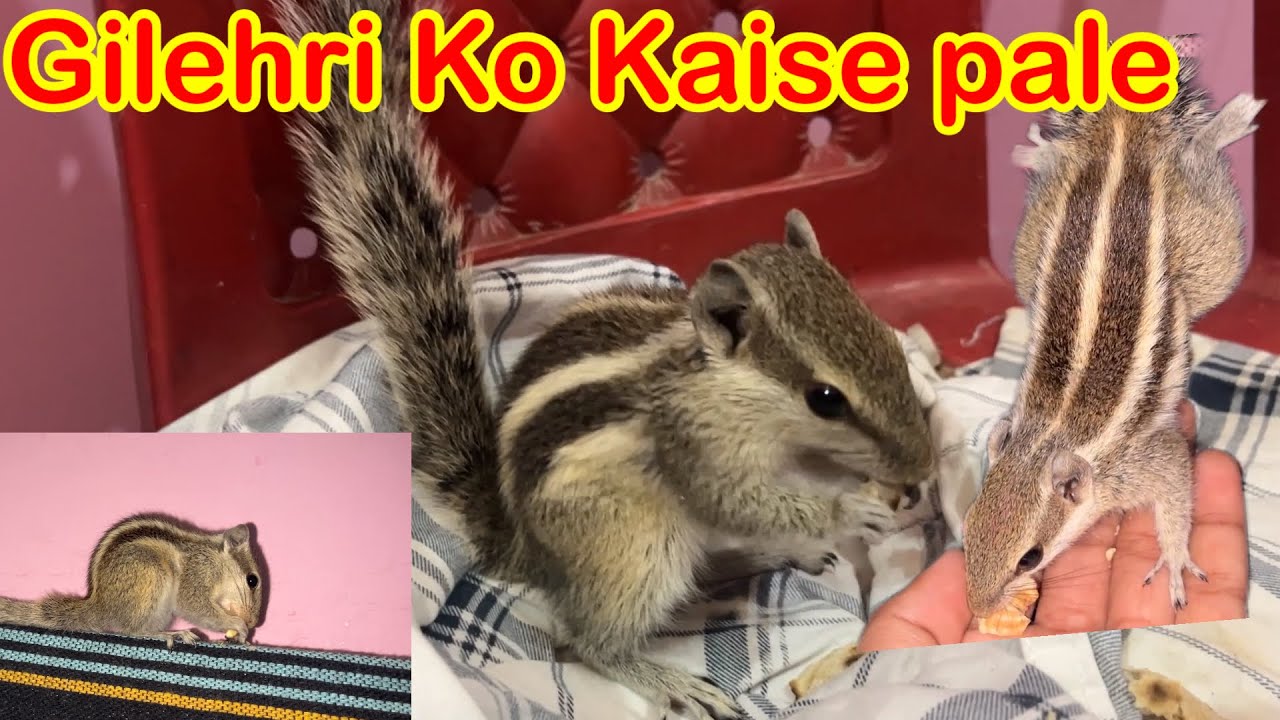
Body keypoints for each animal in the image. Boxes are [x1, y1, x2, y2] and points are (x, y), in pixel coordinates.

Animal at [0, 513, 263, 648]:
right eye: (252, 580)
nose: (254, 623)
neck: (214, 558)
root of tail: (99, 607)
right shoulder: (196, 576)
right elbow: (195, 607)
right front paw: (237, 626)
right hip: (151, 578)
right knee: (132, 630)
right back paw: (172, 634)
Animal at [273, 0, 936, 716]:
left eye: (887, 339)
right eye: (825, 399)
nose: (923, 467)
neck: (724, 389)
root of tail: (525, 551)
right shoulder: (695, 450)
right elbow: (741, 501)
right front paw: (849, 510)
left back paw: (782, 557)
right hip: (636, 547)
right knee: (587, 642)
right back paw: (672, 678)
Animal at [962, 34, 1264, 621]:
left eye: (1030, 557)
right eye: (965, 529)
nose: (977, 608)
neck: (1045, 440)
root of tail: (1124, 135)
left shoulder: (1142, 463)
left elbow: (1176, 482)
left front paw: (1173, 558)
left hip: (1209, 245)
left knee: (1198, 158)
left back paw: (1232, 120)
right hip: (1035, 234)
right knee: (1066, 155)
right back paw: (1037, 150)